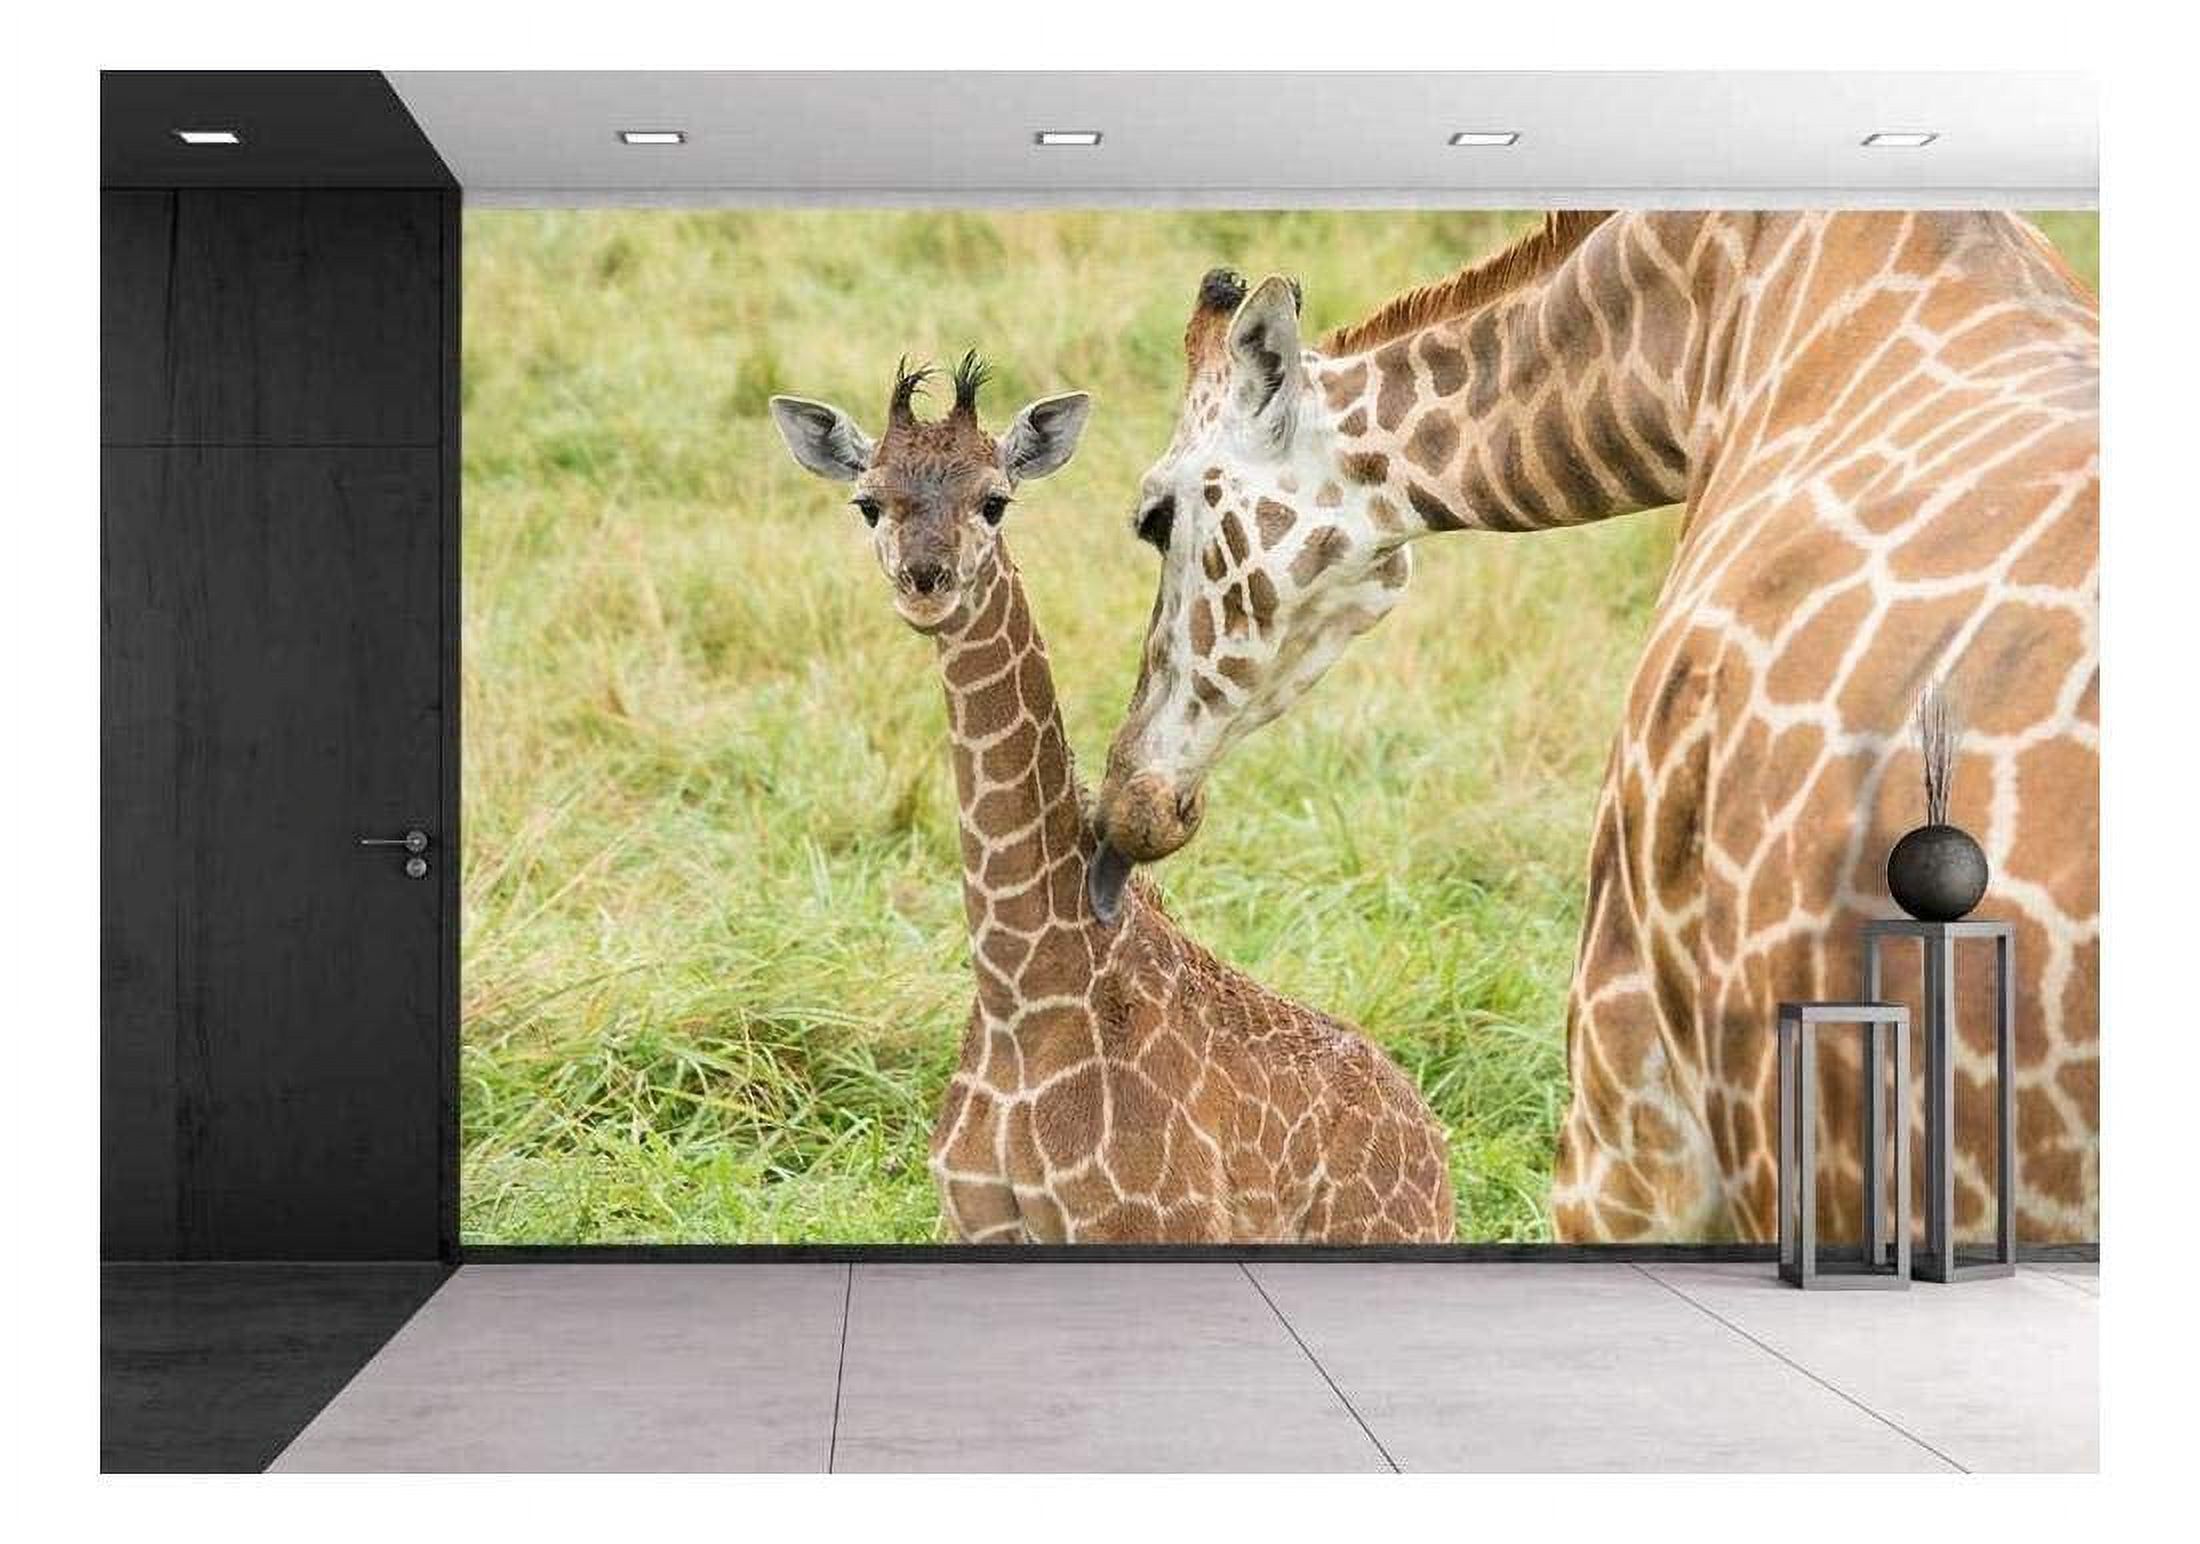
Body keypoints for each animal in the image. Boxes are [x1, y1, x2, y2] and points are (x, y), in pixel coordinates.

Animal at [768, 353, 1455, 1243]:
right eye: (869, 502)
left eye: (994, 499)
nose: (926, 582)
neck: (1022, 997)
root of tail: (1433, 1146)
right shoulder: (975, 1221)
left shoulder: (1148, 1225)